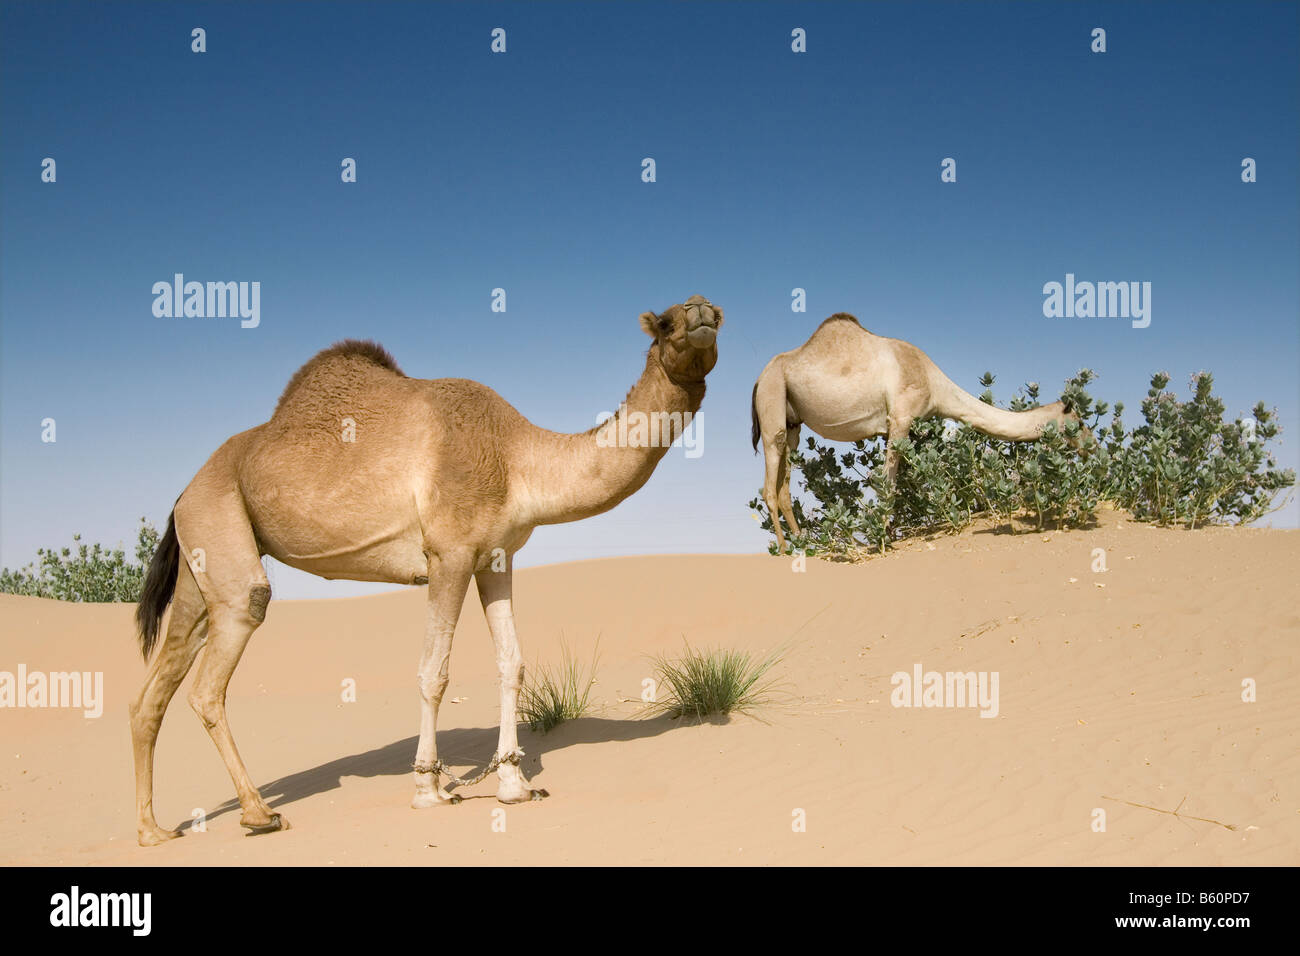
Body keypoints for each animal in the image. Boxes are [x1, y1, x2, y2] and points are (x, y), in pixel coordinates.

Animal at [128, 295, 723, 846]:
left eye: (718, 314)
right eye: (666, 322)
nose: (701, 311)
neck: (516, 456)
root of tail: (183, 492)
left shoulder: (497, 558)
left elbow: (512, 663)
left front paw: (515, 786)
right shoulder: (449, 553)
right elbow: (433, 672)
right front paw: (429, 789)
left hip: (200, 558)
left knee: (154, 686)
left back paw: (153, 831)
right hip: (219, 522)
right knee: (219, 662)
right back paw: (259, 813)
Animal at [752, 313, 1086, 552]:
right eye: (1080, 422)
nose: (1092, 445)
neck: (934, 383)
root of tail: (758, 379)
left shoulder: (897, 427)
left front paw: (887, 532)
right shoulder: (900, 418)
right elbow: (888, 483)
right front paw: (883, 538)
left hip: (793, 422)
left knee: (784, 480)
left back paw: (806, 545)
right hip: (772, 396)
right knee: (770, 478)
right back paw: (784, 549)